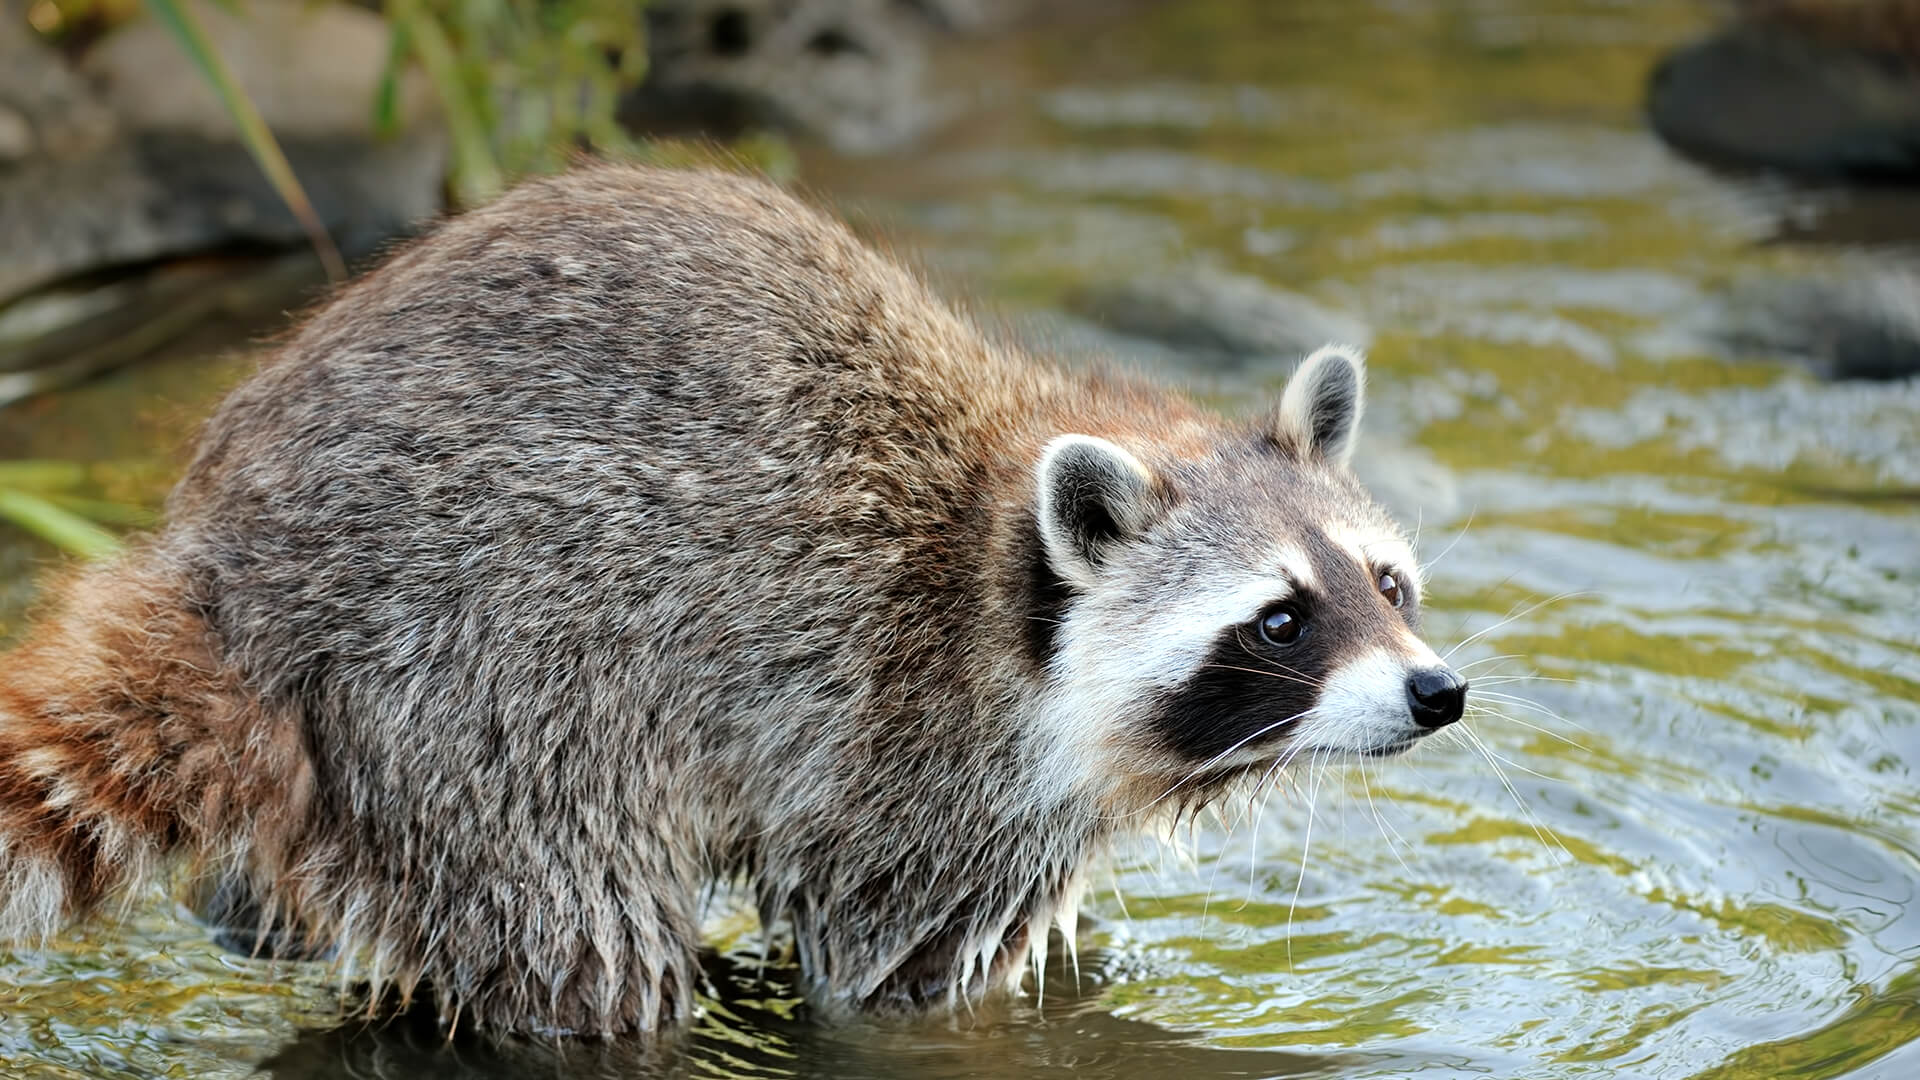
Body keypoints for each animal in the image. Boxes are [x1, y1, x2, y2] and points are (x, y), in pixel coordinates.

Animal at [0, 165, 1467, 1037]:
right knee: (589, 941)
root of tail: (233, 566)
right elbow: (886, 972)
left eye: (1385, 583)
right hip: (476, 689)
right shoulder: (907, 756)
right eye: (1282, 619)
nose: (1438, 693)